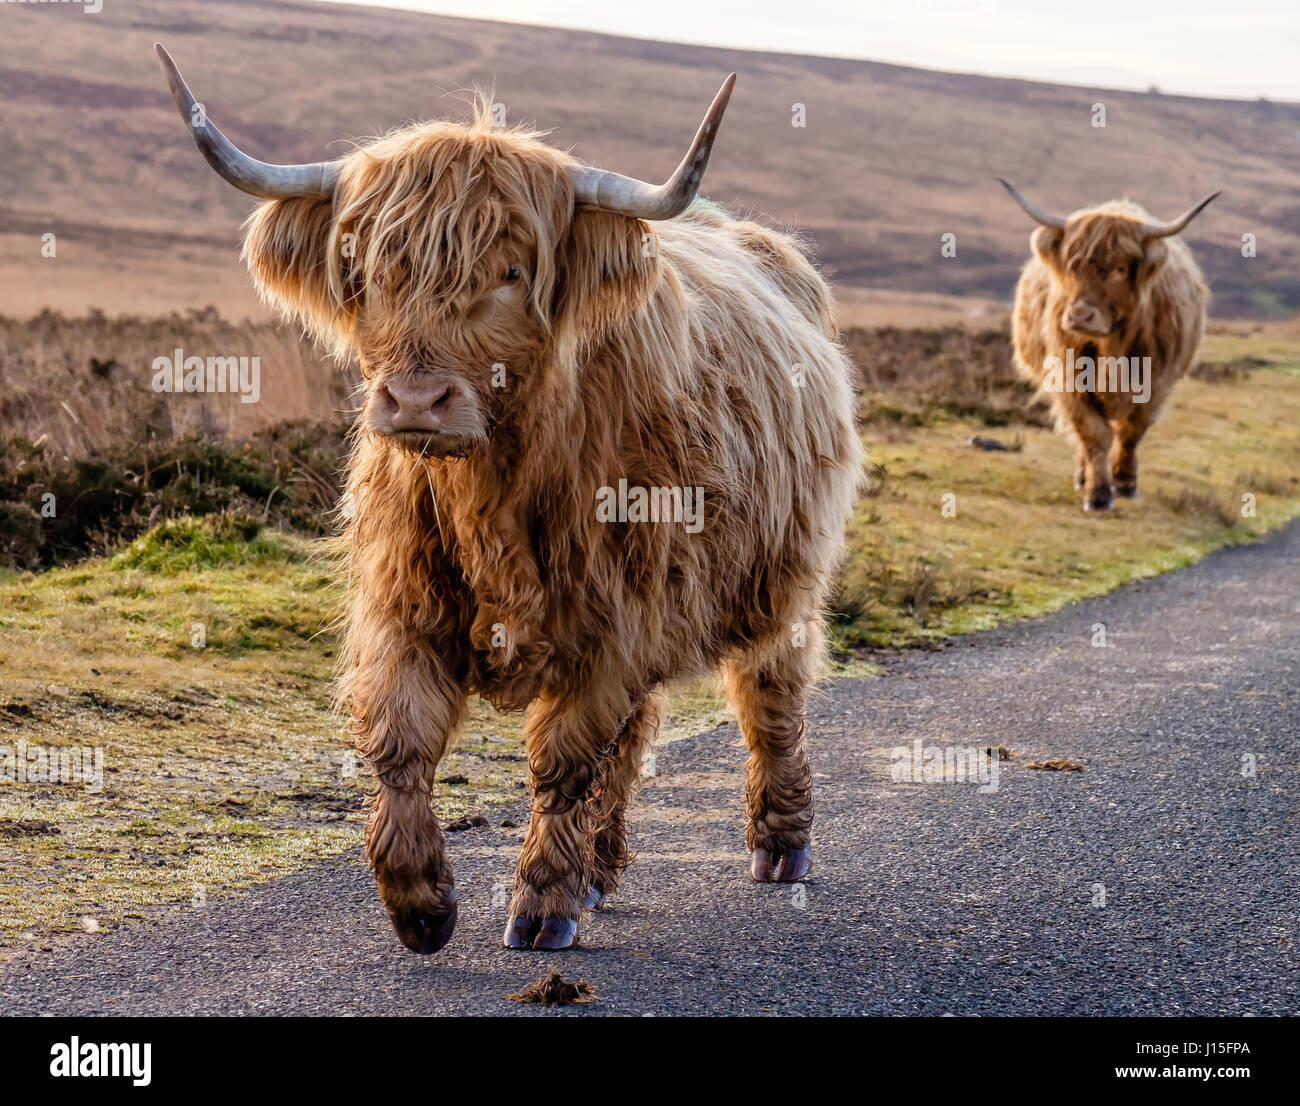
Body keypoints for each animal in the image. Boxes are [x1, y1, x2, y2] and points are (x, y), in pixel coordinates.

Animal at [155, 45, 863, 953]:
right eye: (374, 271)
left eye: (512, 271)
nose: (416, 403)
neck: (492, 489)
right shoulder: (406, 602)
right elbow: (401, 741)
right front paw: (420, 901)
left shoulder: (612, 622)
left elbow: (563, 760)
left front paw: (542, 905)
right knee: (638, 733)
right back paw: (601, 868)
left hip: (778, 581)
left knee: (769, 698)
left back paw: (779, 843)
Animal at [998, 179, 1218, 512]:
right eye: (1072, 266)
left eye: (1120, 268)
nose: (1079, 315)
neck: (1112, 348)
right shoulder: (1070, 380)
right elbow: (1093, 434)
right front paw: (1098, 494)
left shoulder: (1156, 383)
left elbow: (1131, 432)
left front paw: (1125, 483)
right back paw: (1083, 476)